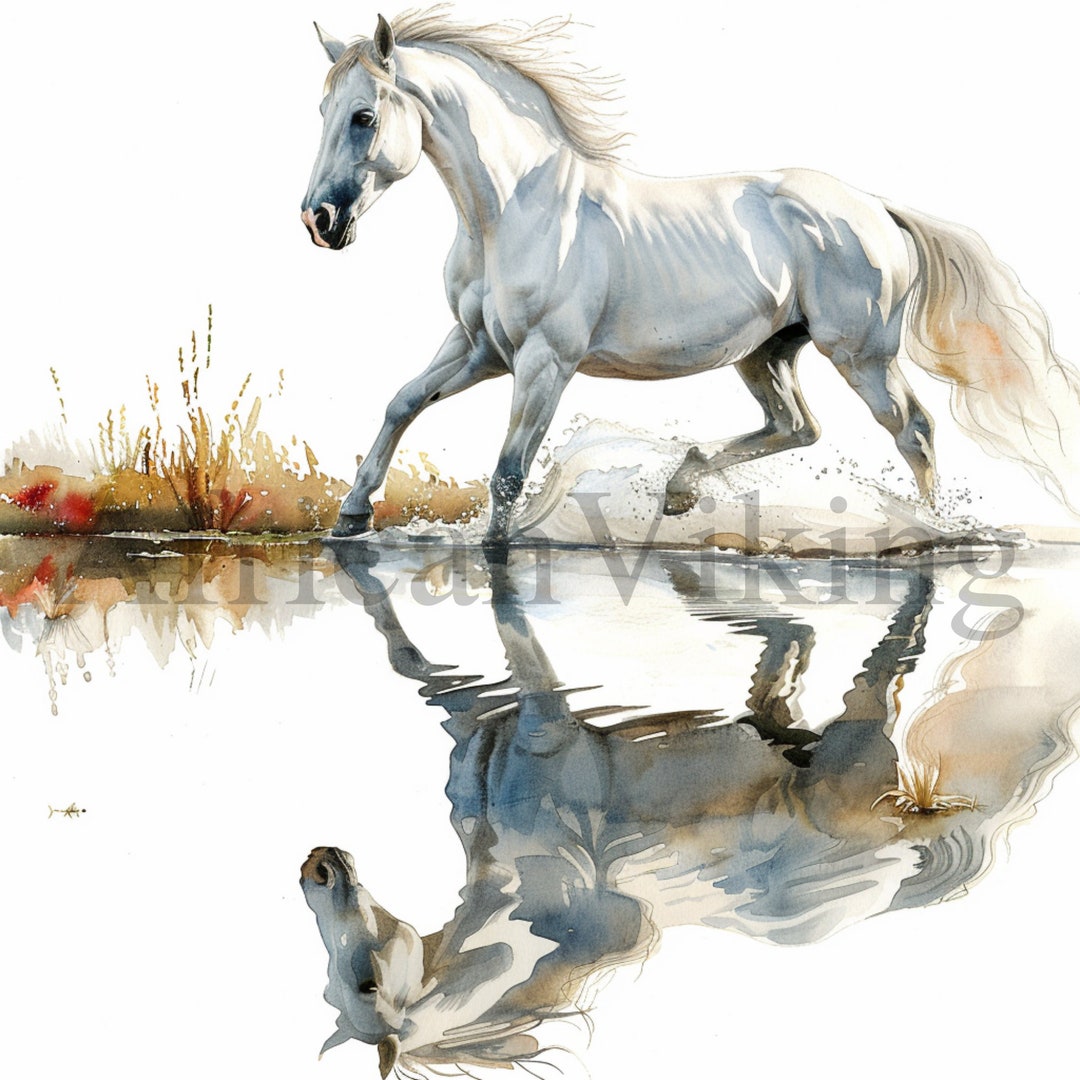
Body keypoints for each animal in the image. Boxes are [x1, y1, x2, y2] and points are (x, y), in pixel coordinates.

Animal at [301, 8, 1080, 544]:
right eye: (322, 110)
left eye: (364, 117)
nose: (319, 220)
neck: (512, 208)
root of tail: (876, 207)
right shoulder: (479, 348)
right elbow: (402, 402)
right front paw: (350, 517)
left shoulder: (545, 362)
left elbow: (509, 468)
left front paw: (498, 549)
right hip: (768, 352)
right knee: (798, 425)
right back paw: (679, 487)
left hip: (862, 355)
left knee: (911, 429)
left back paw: (930, 532)